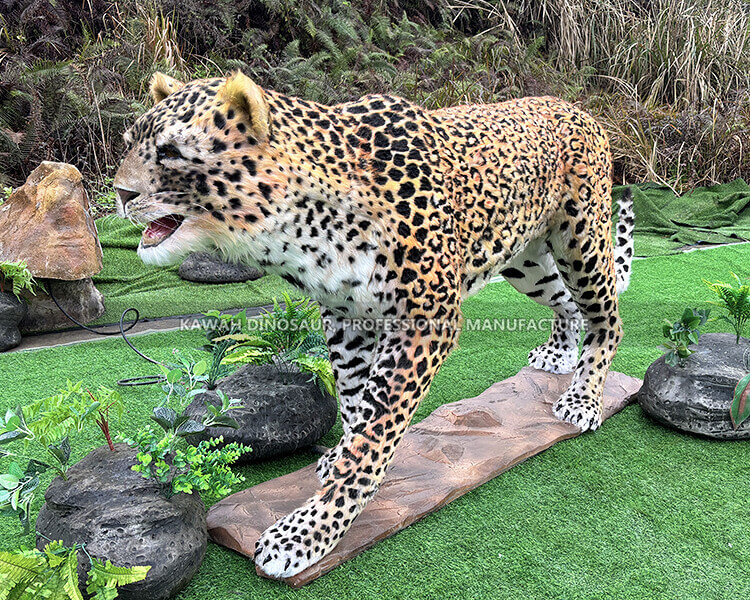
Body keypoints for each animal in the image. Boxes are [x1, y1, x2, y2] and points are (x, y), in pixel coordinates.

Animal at [113, 71, 635, 579]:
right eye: (130, 143)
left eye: (169, 152)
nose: (120, 194)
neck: (301, 229)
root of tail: (573, 106)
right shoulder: (345, 314)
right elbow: (352, 399)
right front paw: (336, 456)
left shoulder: (425, 319)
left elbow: (376, 428)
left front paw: (306, 535)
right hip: (525, 259)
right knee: (566, 303)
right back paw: (559, 356)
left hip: (582, 240)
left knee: (607, 316)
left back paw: (584, 400)